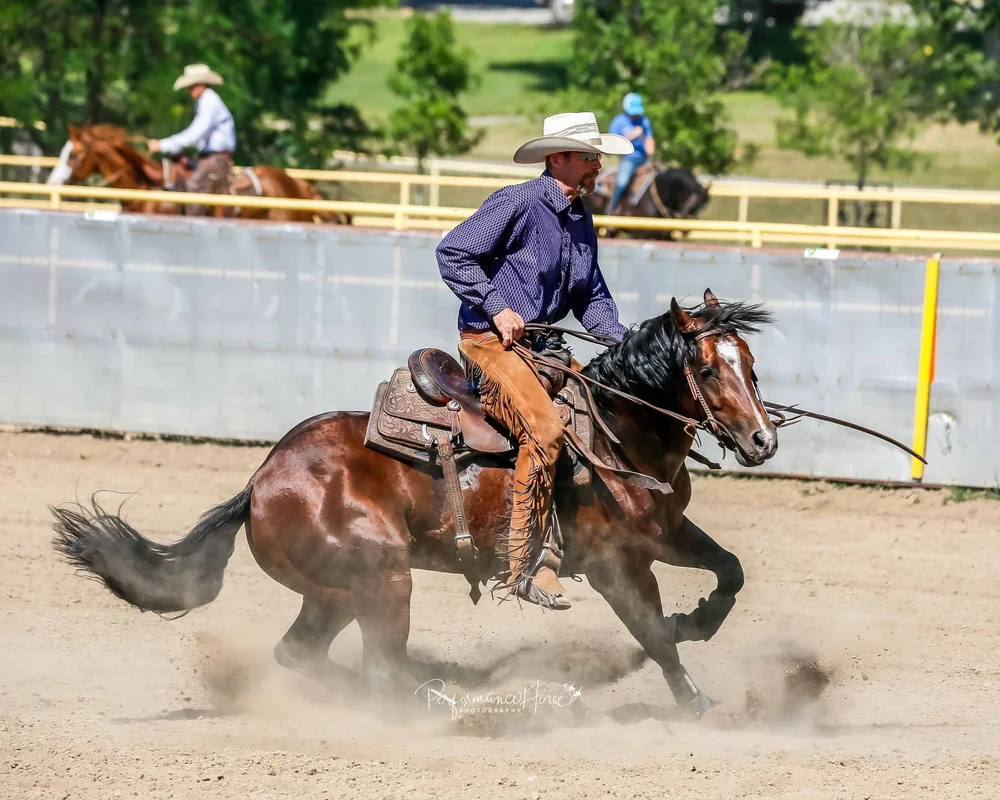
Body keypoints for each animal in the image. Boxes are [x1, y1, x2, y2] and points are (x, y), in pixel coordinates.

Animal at [51, 291, 777, 717]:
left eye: (751, 363)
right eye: (706, 368)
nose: (762, 440)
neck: (613, 433)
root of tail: (260, 481)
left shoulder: (665, 534)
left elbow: (731, 572)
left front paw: (697, 624)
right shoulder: (613, 564)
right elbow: (651, 632)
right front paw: (693, 697)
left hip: (337, 592)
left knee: (302, 655)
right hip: (382, 579)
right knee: (377, 664)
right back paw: (433, 702)